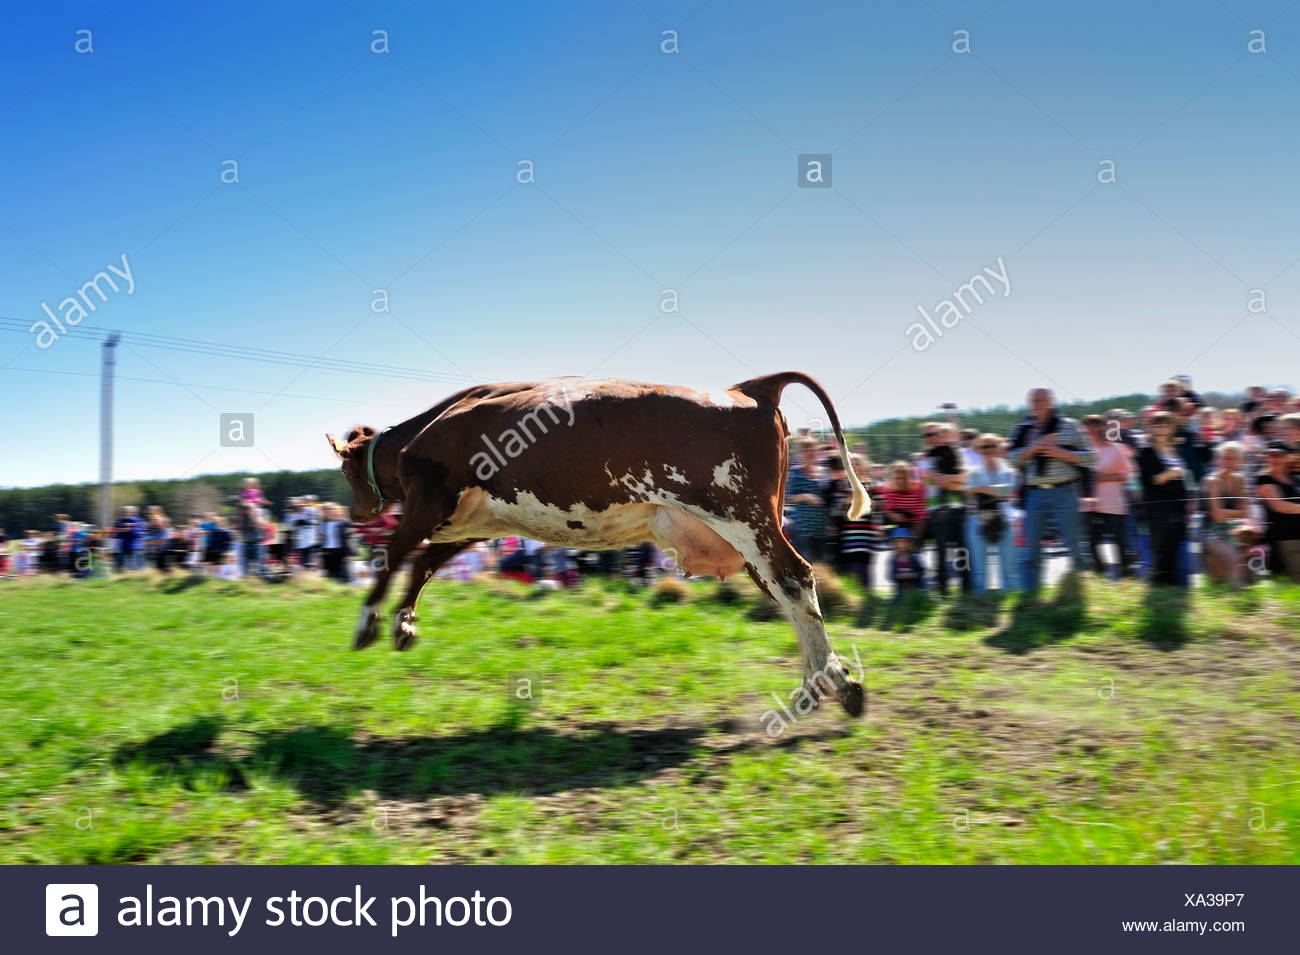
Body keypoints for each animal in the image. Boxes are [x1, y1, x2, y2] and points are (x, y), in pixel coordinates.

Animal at [326, 372, 871, 716]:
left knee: (795, 580)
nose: (355, 514)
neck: (430, 429)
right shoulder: (473, 522)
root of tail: (750, 390)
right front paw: (403, 623)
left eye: (346, 472)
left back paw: (838, 684)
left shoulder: (427, 504)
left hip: (744, 519)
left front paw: (367, 622)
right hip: (749, 529)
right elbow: (423, 564)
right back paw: (817, 686)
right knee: (785, 592)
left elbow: (394, 555)